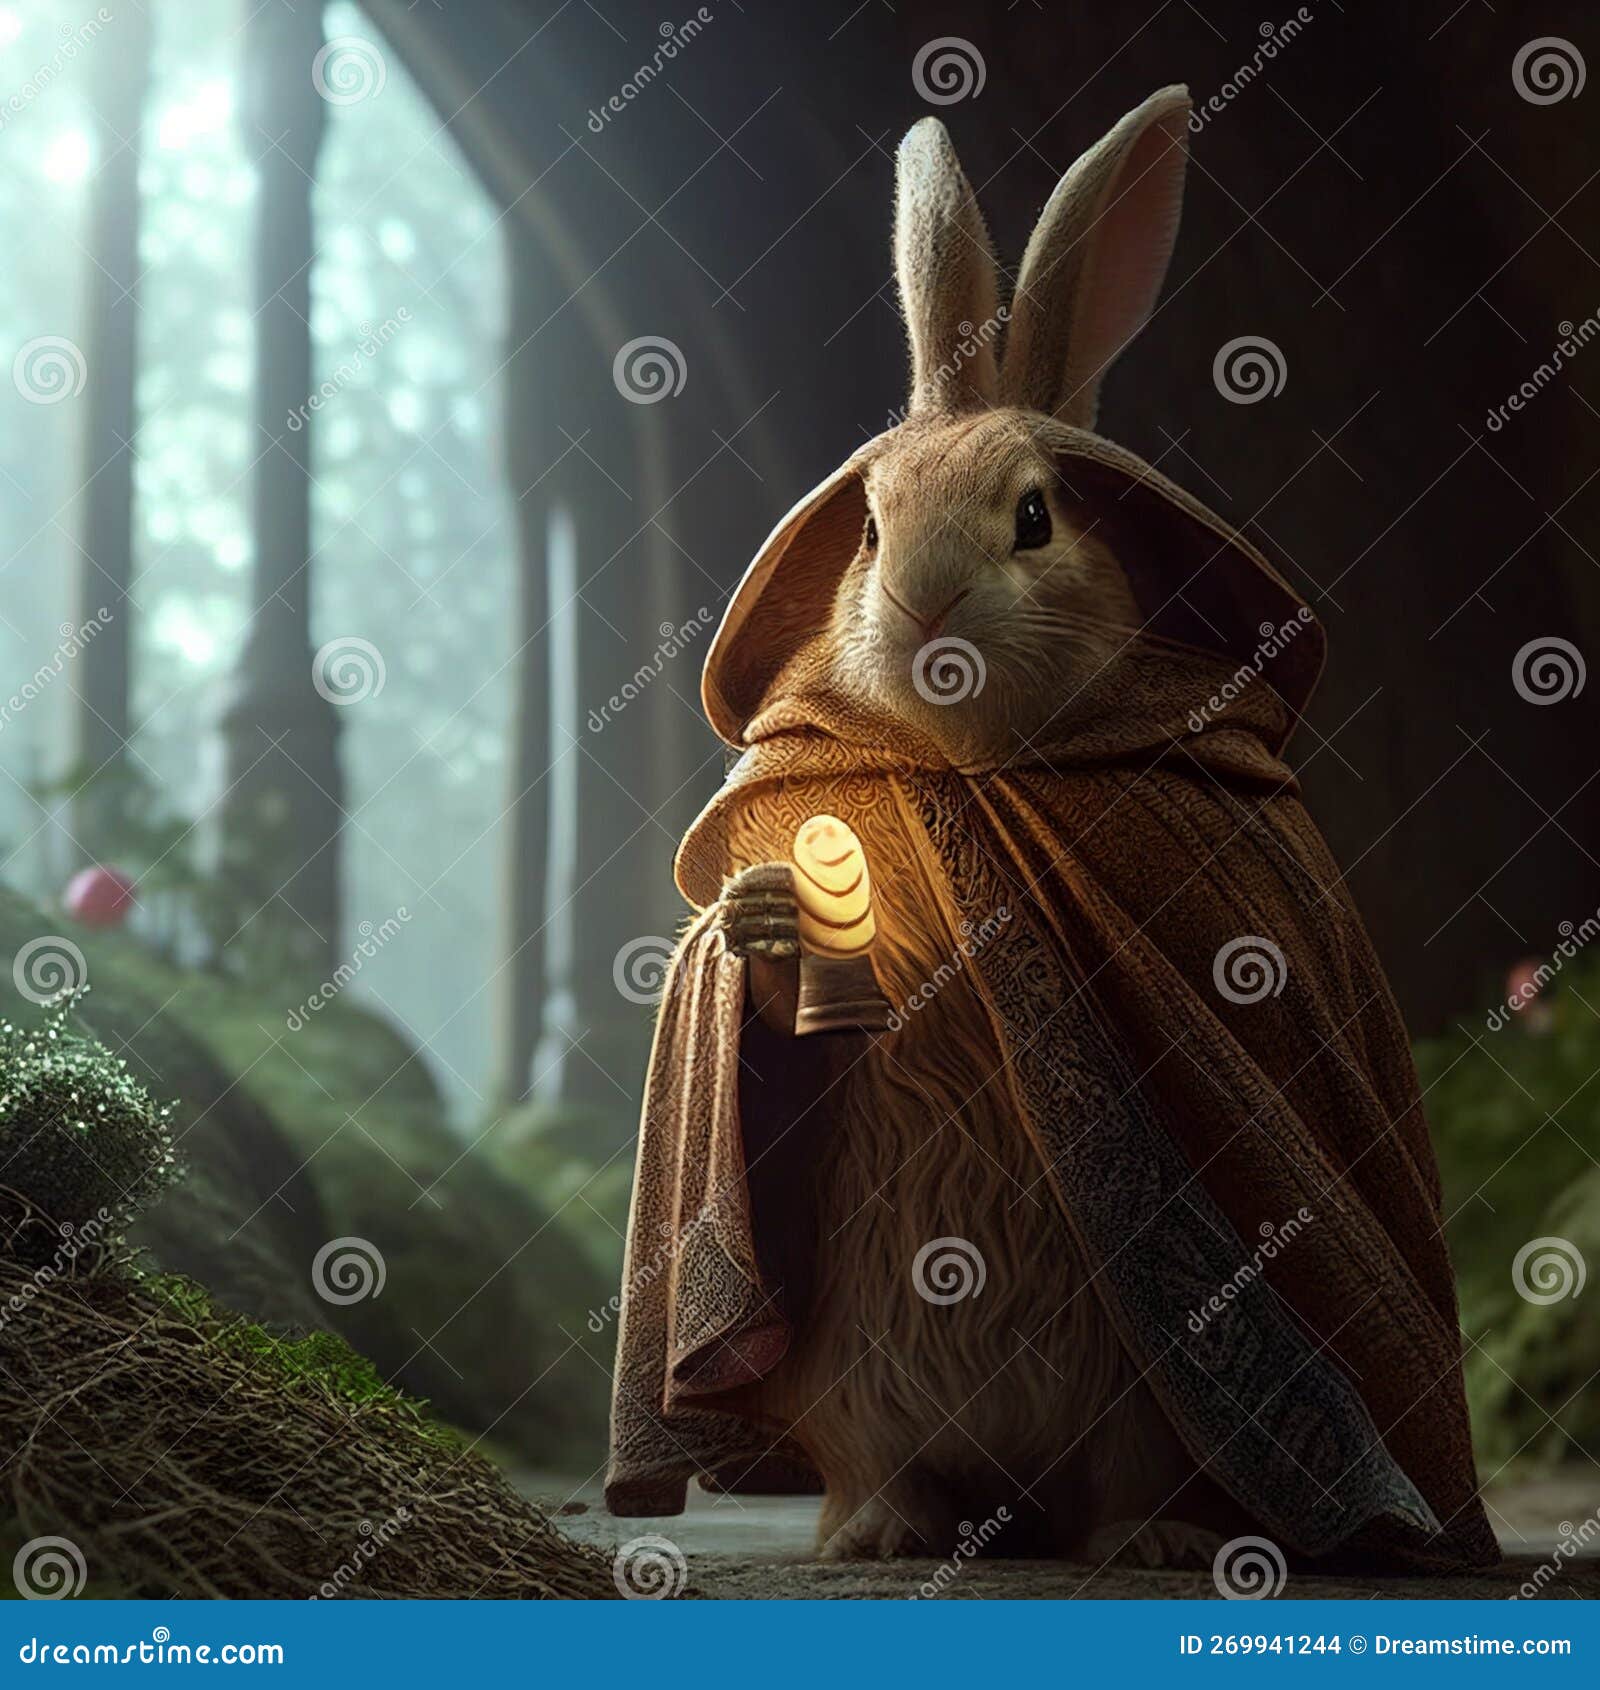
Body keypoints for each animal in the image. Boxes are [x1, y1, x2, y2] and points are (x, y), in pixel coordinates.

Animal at [710, 88, 1260, 1566]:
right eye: (868, 527)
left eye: (1033, 514)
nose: (922, 602)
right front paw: (764, 917)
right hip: (849, 1377)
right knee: (881, 1460)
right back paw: (878, 1535)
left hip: (1145, 1384)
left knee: (1130, 1468)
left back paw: (1146, 1542)